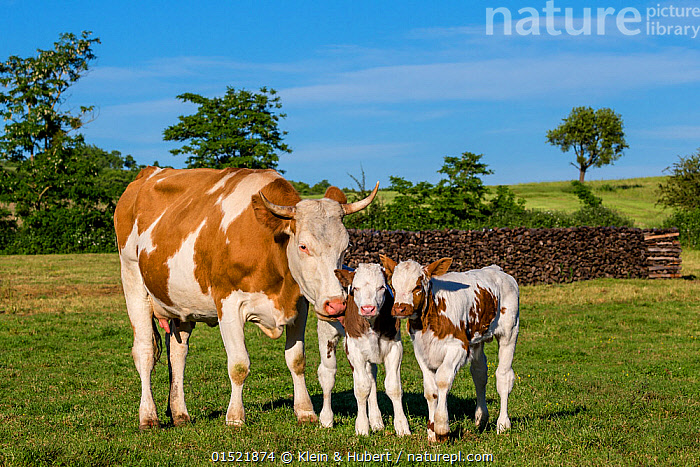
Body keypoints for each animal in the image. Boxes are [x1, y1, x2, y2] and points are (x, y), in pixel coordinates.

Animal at [113, 166, 377, 429]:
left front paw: (304, 411)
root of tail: (147, 173)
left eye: (346, 246)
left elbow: (297, 360)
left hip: (180, 303)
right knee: (145, 351)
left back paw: (179, 413)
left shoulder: (299, 305)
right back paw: (148, 416)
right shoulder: (228, 305)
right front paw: (235, 417)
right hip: (132, 279)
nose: (336, 304)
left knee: (177, 353)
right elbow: (239, 364)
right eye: (303, 246)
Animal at [333, 263, 410, 436]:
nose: (368, 308)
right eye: (355, 288)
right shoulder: (355, 351)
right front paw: (362, 426)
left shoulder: (395, 348)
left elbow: (394, 387)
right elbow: (362, 389)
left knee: (372, 378)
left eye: (381, 287)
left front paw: (402, 426)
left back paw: (376, 421)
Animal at [381, 256, 519, 442]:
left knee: (503, 376)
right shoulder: (421, 350)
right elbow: (430, 390)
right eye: (393, 286)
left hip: (509, 332)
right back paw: (481, 417)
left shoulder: (458, 347)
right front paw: (431, 432)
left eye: (417, 286)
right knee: (479, 374)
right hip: (477, 339)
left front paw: (441, 427)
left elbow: (442, 380)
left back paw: (503, 424)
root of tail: (496, 270)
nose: (399, 308)